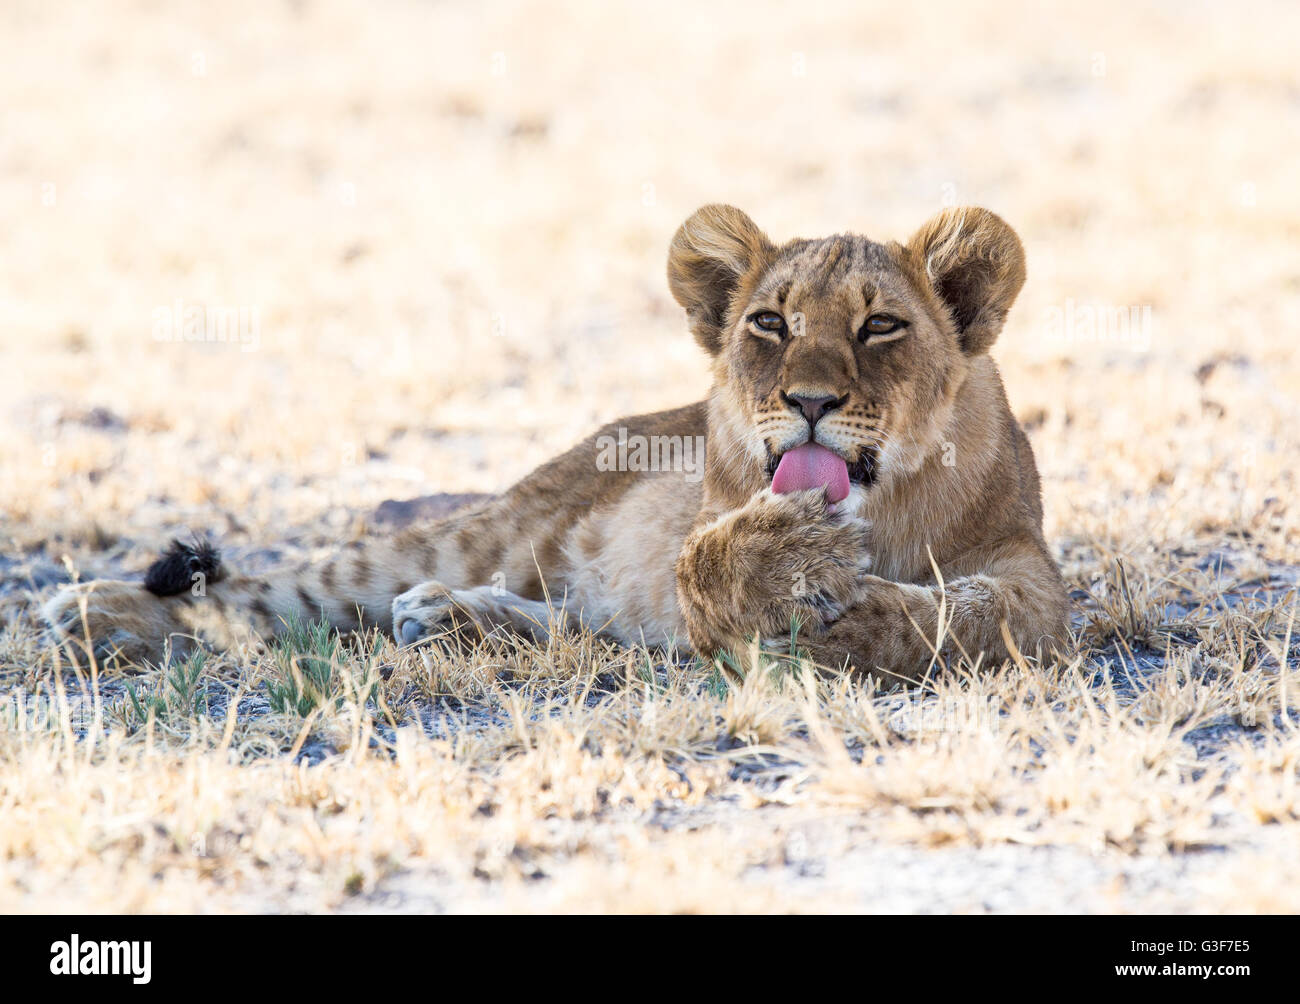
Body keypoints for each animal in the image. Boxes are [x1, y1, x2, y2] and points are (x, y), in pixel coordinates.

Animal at [44, 205, 1067, 684]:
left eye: (881, 326)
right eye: (771, 323)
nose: (809, 401)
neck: (875, 510)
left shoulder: (1036, 586)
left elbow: (957, 614)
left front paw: (845, 617)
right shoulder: (705, 538)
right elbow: (706, 567)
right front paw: (788, 568)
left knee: (584, 624)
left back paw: (451, 620)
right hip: (485, 527)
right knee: (276, 592)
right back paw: (94, 612)